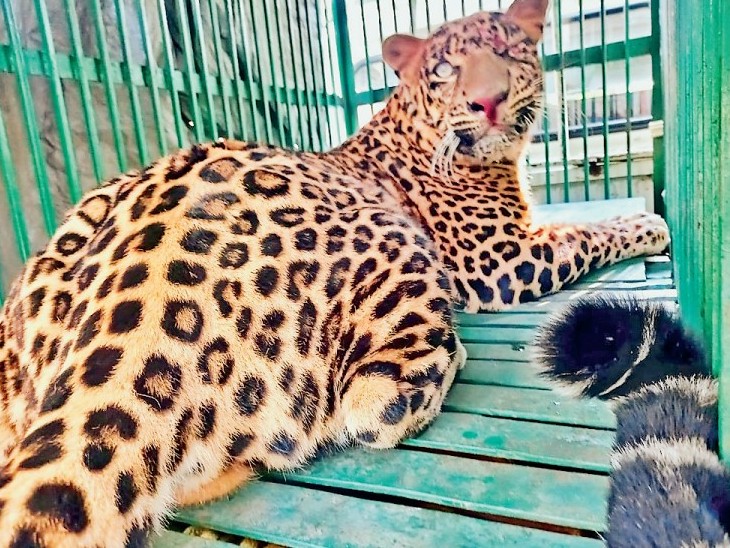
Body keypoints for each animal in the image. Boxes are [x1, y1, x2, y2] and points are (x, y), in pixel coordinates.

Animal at [0, 1, 669, 546]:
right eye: (446, 71)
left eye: (508, 51)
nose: (489, 101)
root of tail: (145, 277)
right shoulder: (499, 257)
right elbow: (587, 232)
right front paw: (650, 222)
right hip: (395, 245)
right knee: (371, 403)